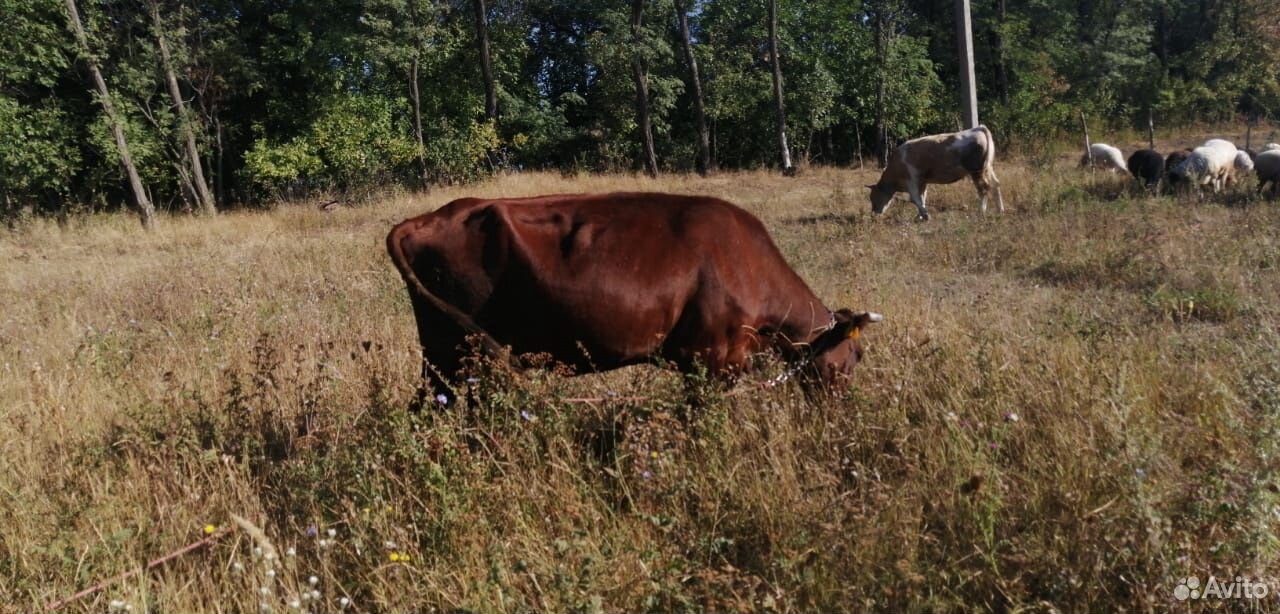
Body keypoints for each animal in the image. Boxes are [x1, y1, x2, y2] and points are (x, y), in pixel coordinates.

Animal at [387, 192, 883, 407]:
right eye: (855, 355)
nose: (844, 409)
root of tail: (431, 216)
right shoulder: (709, 358)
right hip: (462, 356)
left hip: (444, 358)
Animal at [867, 125, 1005, 221]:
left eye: (873, 197)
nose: (873, 214)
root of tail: (978, 128)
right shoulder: (923, 181)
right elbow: (922, 197)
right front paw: (919, 216)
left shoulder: (912, 180)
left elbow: (915, 198)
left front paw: (925, 216)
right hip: (988, 168)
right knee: (996, 185)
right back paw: (1000, 210)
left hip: (976, 171)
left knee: (984, 189)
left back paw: (981, 212)